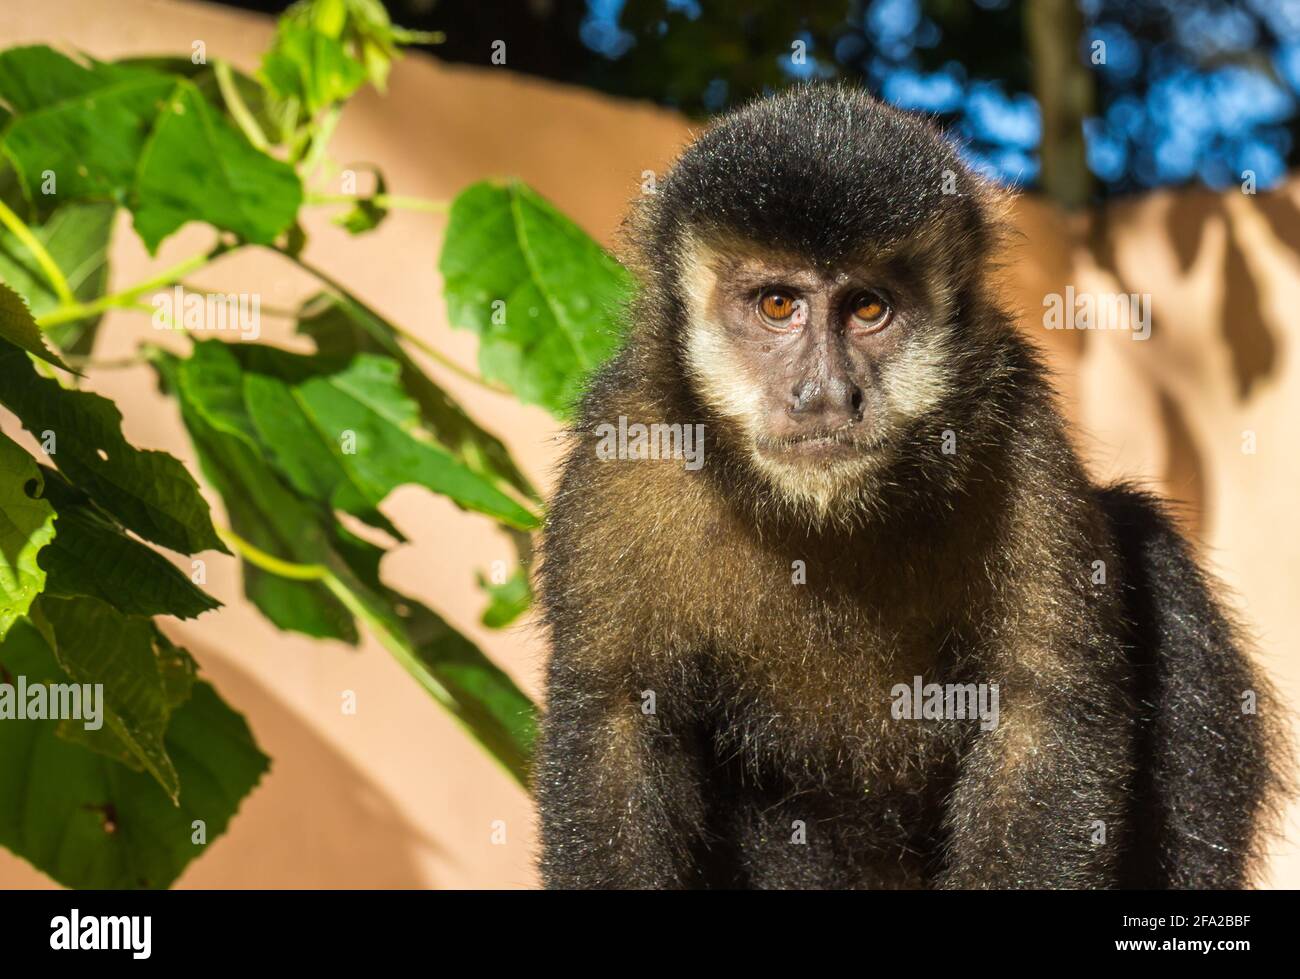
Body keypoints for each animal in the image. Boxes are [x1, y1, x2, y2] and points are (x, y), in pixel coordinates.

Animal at [534, 83, 1289, 889]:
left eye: (868, 308)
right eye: (778, 305)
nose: (825, 394)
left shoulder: (1015, 423)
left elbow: (1041, 716)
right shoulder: (626, 442)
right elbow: (614, 722)